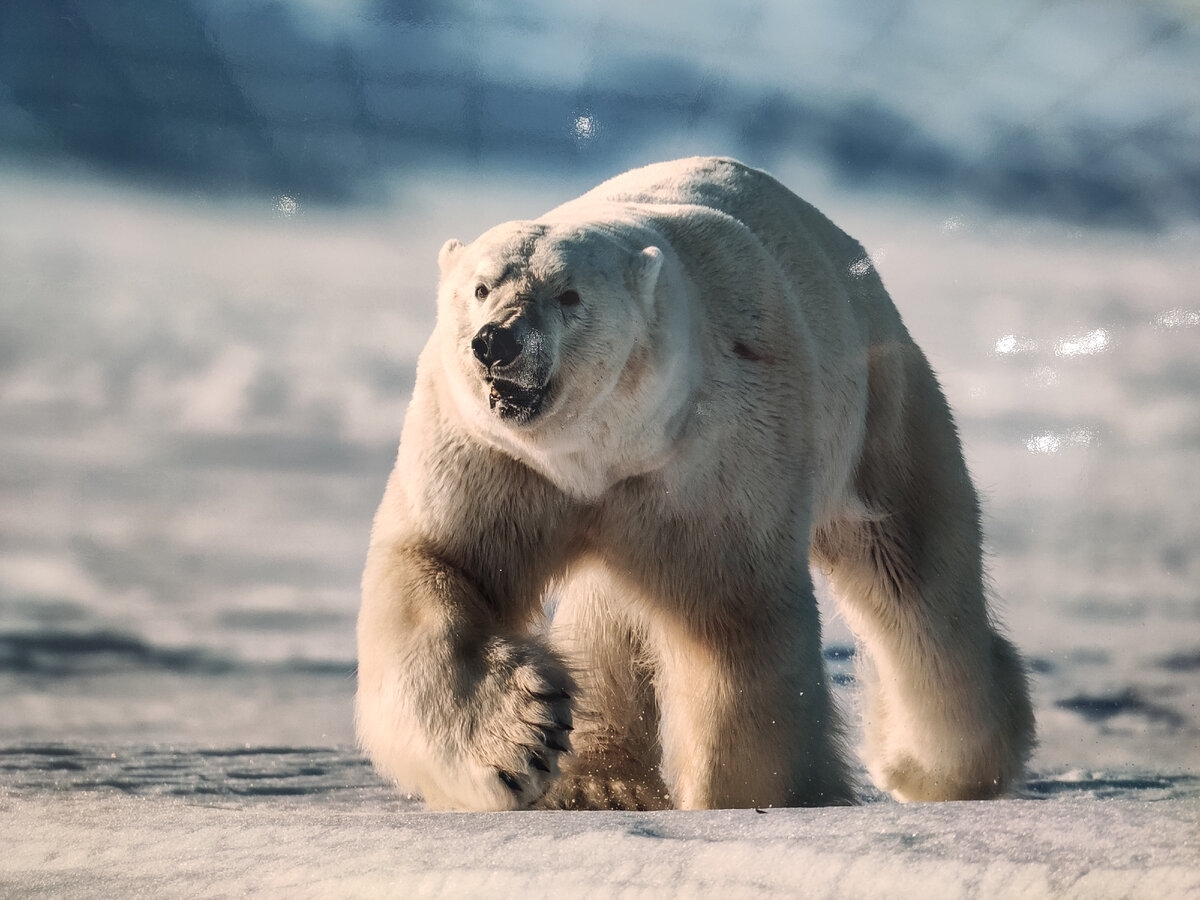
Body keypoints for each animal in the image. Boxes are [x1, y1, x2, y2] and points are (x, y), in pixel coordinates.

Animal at [352, 154, 1032, 811]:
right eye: (481, 287)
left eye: (569, 295)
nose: (497, 342)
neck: (599, 453)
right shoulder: (493, 456)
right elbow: (440, 560)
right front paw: (524, 738)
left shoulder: (711, 454)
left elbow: (731, 619)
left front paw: (743, 797)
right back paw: (599, 786)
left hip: (877, 405)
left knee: (914, 577)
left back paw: (936, 766)